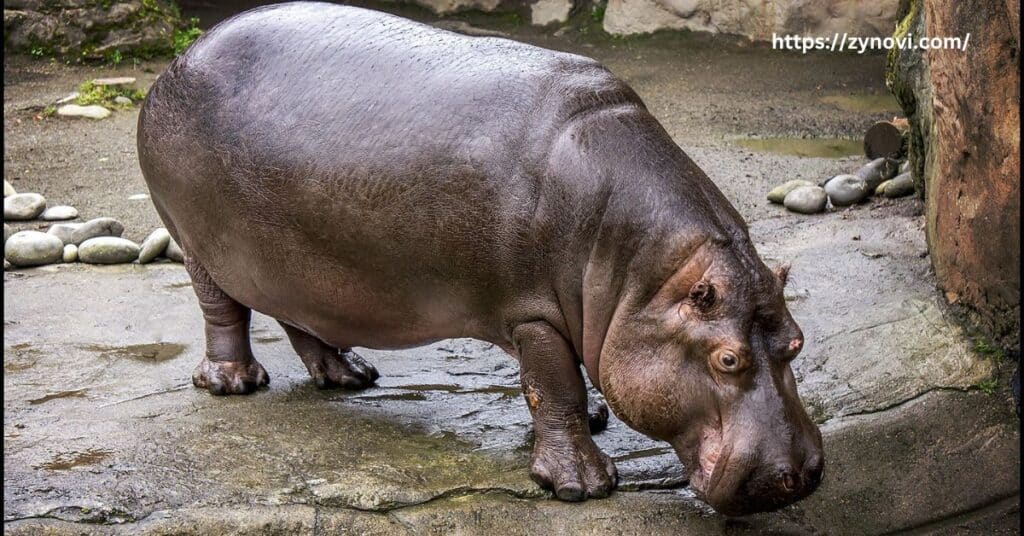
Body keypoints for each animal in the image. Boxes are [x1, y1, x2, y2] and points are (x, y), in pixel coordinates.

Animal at [137, 2, 823, 515]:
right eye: (727, 359)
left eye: (796, 342)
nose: (798, 476)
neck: (646, 278)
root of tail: (178, 62)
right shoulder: (533, 314)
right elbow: (554, 384)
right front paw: (583, 485)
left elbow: (555, 383)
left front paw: (597, 418)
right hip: (199, 245)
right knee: (222, 311)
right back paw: (234, 383)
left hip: (297, 263)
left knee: (300, 317)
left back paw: (350, 375)